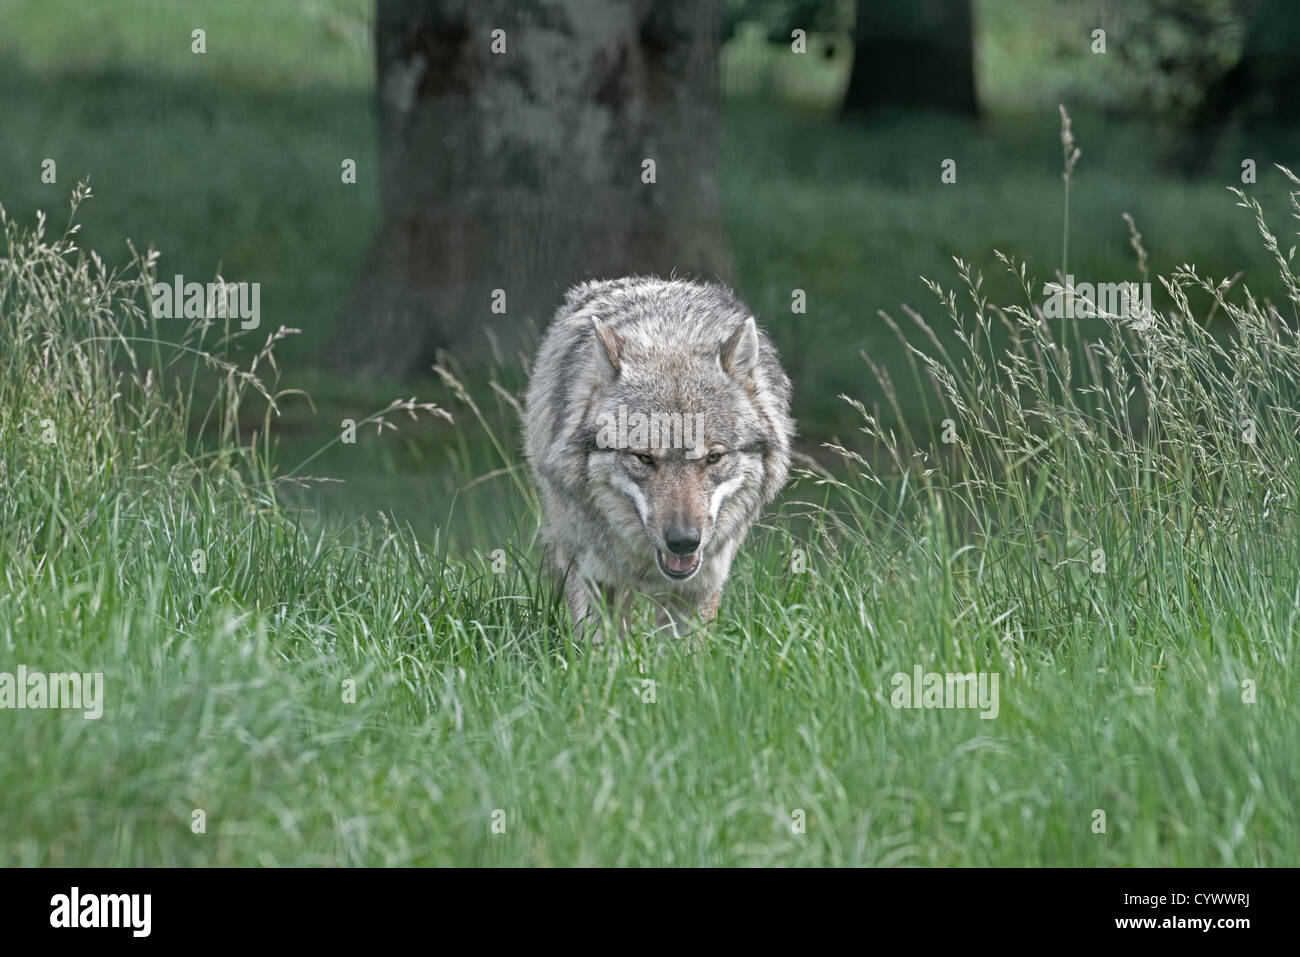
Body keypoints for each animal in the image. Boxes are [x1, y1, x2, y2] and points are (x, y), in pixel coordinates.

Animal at [523, 276, 794, 639]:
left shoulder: (698, 586)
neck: (671, 337)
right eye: (644, 457)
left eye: (714, 457)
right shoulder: (590, 573)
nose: (683, 542)